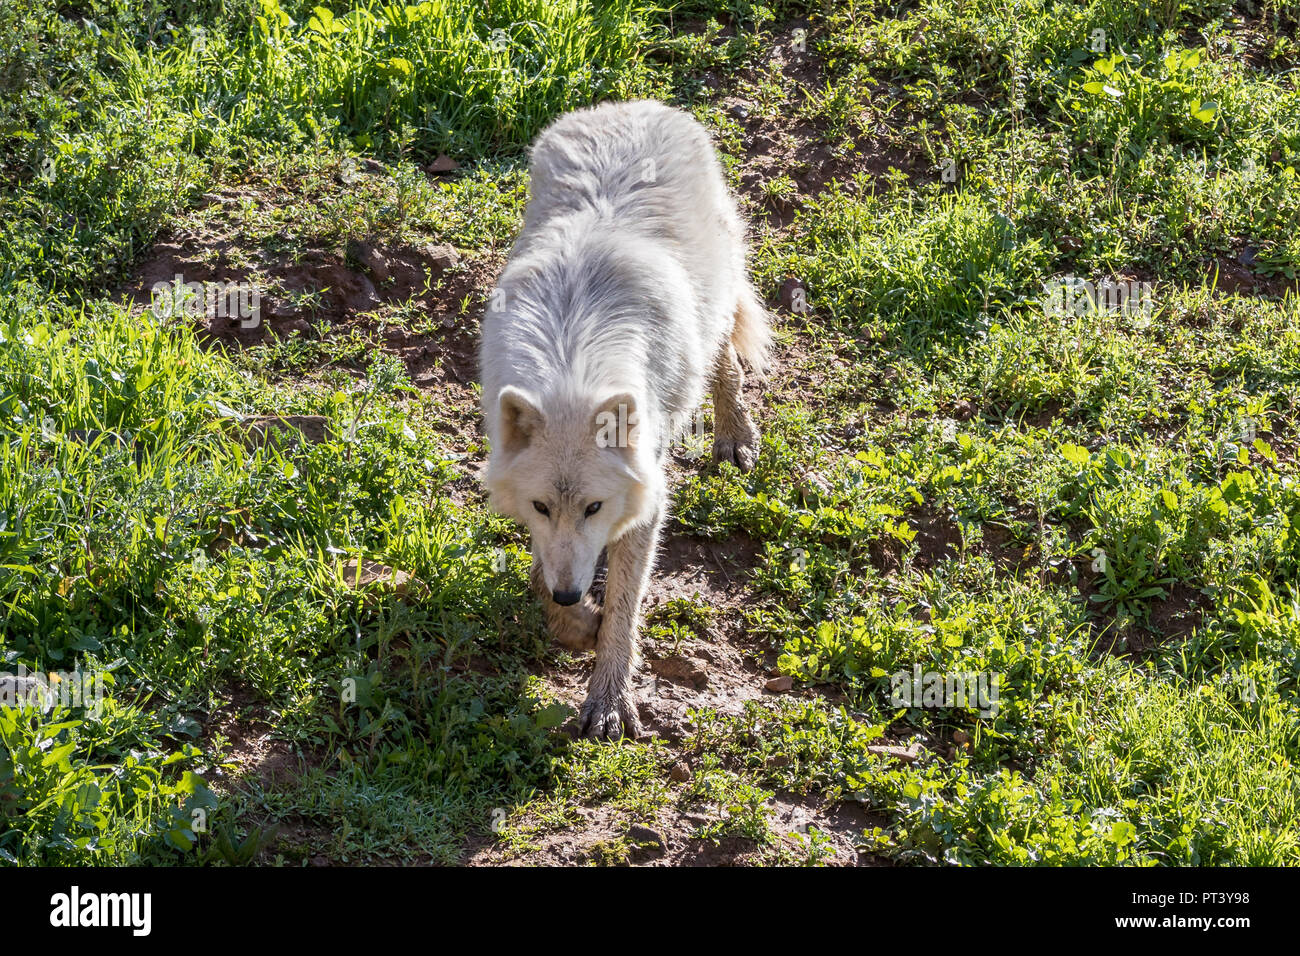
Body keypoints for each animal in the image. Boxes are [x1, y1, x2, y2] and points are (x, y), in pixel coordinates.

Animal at [479, 100, 770, 740]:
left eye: (595, 507)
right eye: (541, 506)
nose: (571, 595)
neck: (572, 362)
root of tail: (637, 105)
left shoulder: (647, 499)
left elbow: (624, 606)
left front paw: (608, 699)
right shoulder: (543, 525)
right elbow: (540, 575)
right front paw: (576, 625)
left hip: (715, 307)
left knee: (723, 363)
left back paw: (734, 436)